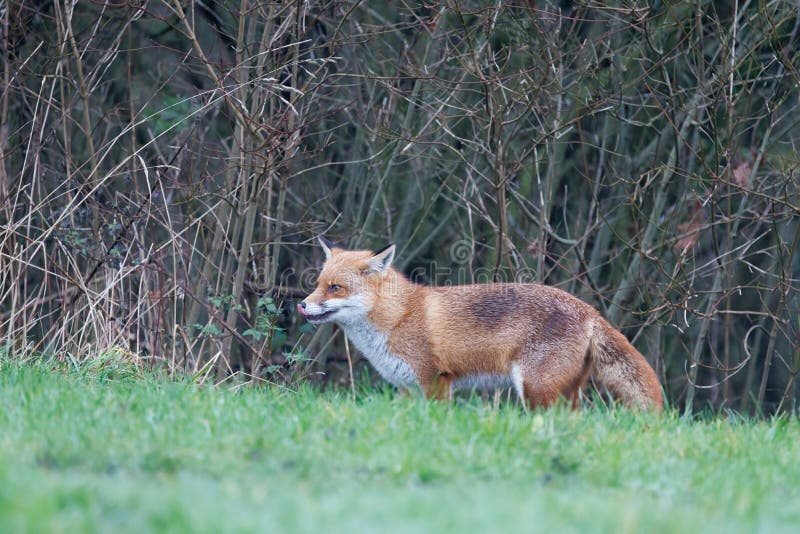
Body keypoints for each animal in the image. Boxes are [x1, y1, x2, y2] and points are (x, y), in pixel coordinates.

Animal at [298, 237, 663, 411]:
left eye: (335, 288)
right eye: (317, 284)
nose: (302, 305)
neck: (399, 317)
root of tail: (590, 310)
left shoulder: (436, 380)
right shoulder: (406, 388)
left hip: (535, 388)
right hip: (564, 391)